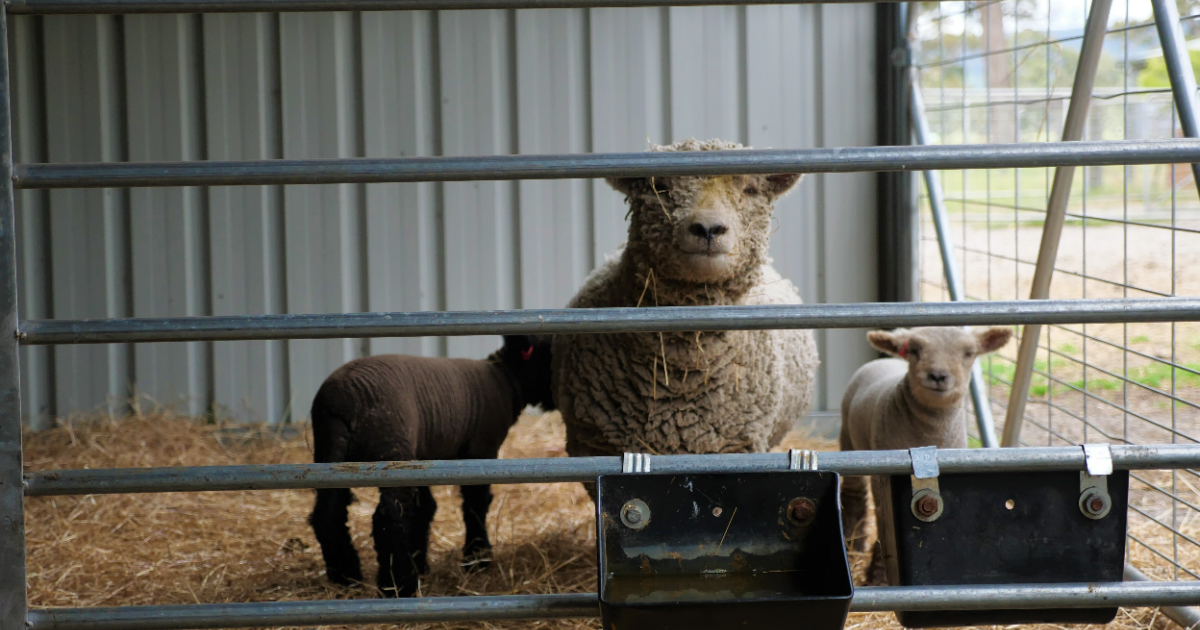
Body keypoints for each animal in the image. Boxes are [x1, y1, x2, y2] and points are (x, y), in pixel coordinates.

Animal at [307, 335, 556, 597]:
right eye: (551, 353)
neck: (505, 377)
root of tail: (340, 402)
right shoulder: (481, 450)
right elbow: (476, 504)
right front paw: (477, 559)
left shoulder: (423, 457)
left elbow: (425, 508)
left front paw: (422, 562)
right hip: (392, 450)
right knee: (389, 517)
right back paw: (399, 584)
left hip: (330, 456)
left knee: (328, 513)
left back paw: (346, 576)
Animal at [839, 325, 1013, 585]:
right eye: (914, 350)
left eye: (969, 353)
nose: (938, 375)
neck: (929, 434)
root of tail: (885, 360)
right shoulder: (883, 478)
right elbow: (885, 526)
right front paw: (878, 577)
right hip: (849, 441)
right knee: (854, 495)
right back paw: (853, 542)